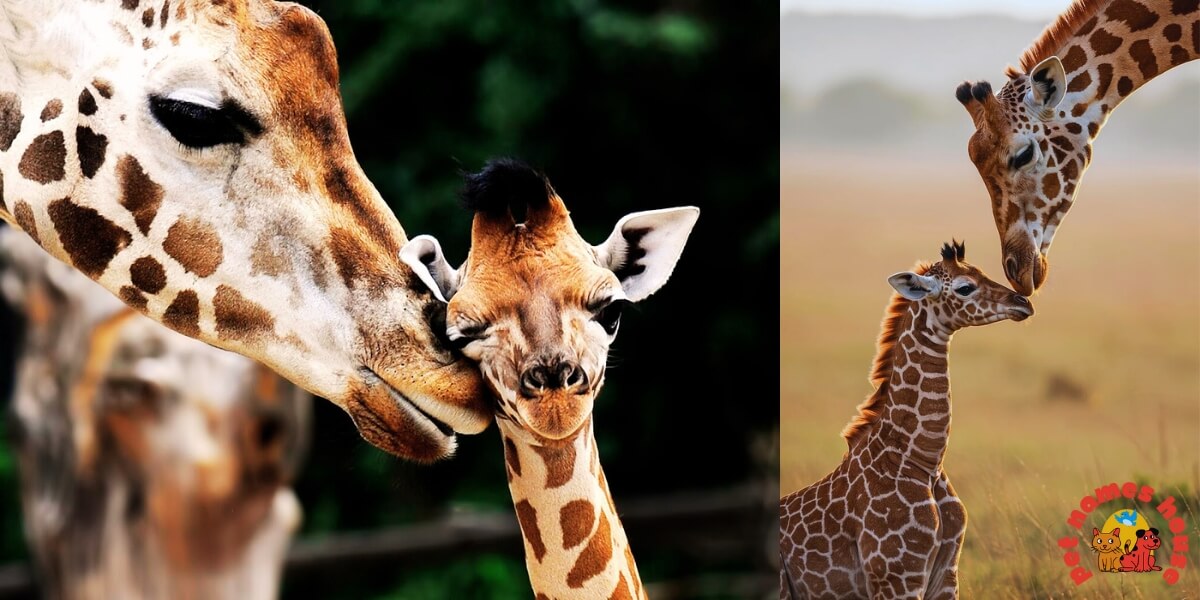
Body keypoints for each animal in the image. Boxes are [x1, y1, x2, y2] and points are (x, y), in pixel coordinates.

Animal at [778, 241, 1034, 600]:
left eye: (983, 271)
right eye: (964, 287)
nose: (1022, 302)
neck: (923, 460)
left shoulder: (946, 575)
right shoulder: (897, 577)